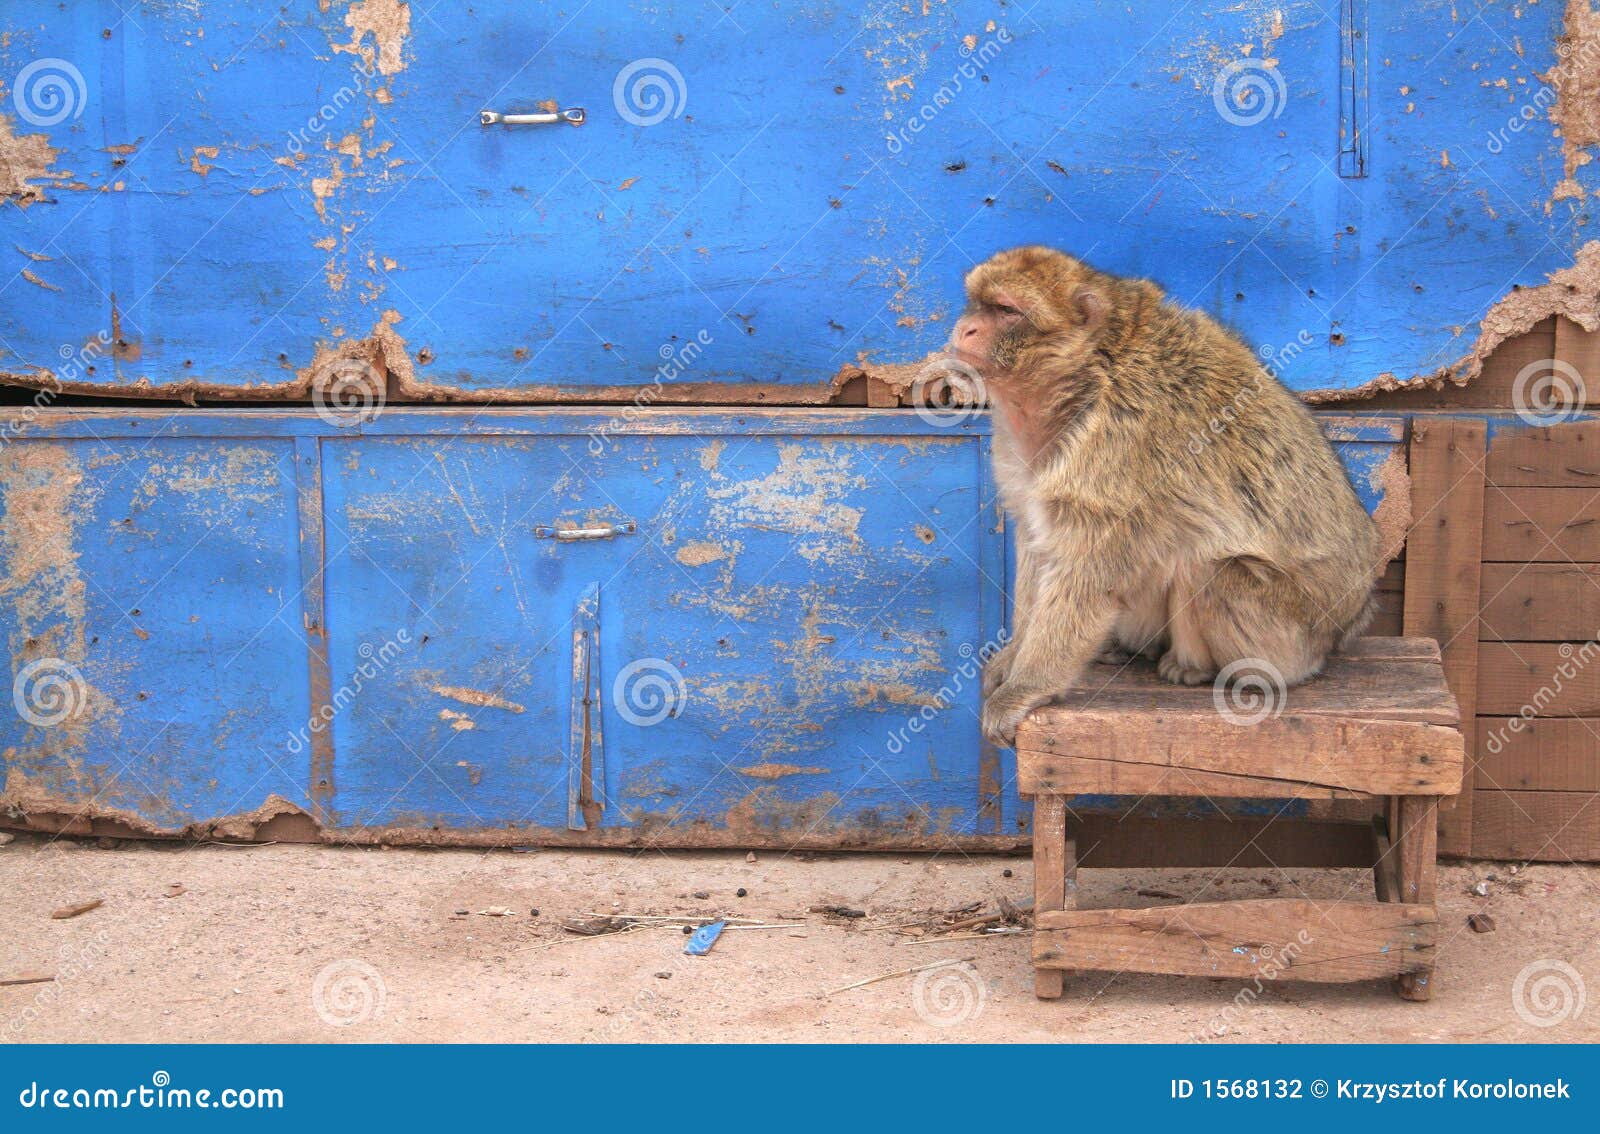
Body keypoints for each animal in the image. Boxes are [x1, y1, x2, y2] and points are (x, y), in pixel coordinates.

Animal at [948, 246, 1381, 746]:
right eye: (978, 304)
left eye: (1006, 311)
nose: (966, 328)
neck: (1085, 379)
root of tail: (1350, 619)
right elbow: (1038, 544)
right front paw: (1013, 655)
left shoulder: (1115, 448)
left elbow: (1089, 576)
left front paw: (1024, 688)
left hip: (1288, 637)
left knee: (1206, 565)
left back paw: (1194, 667)